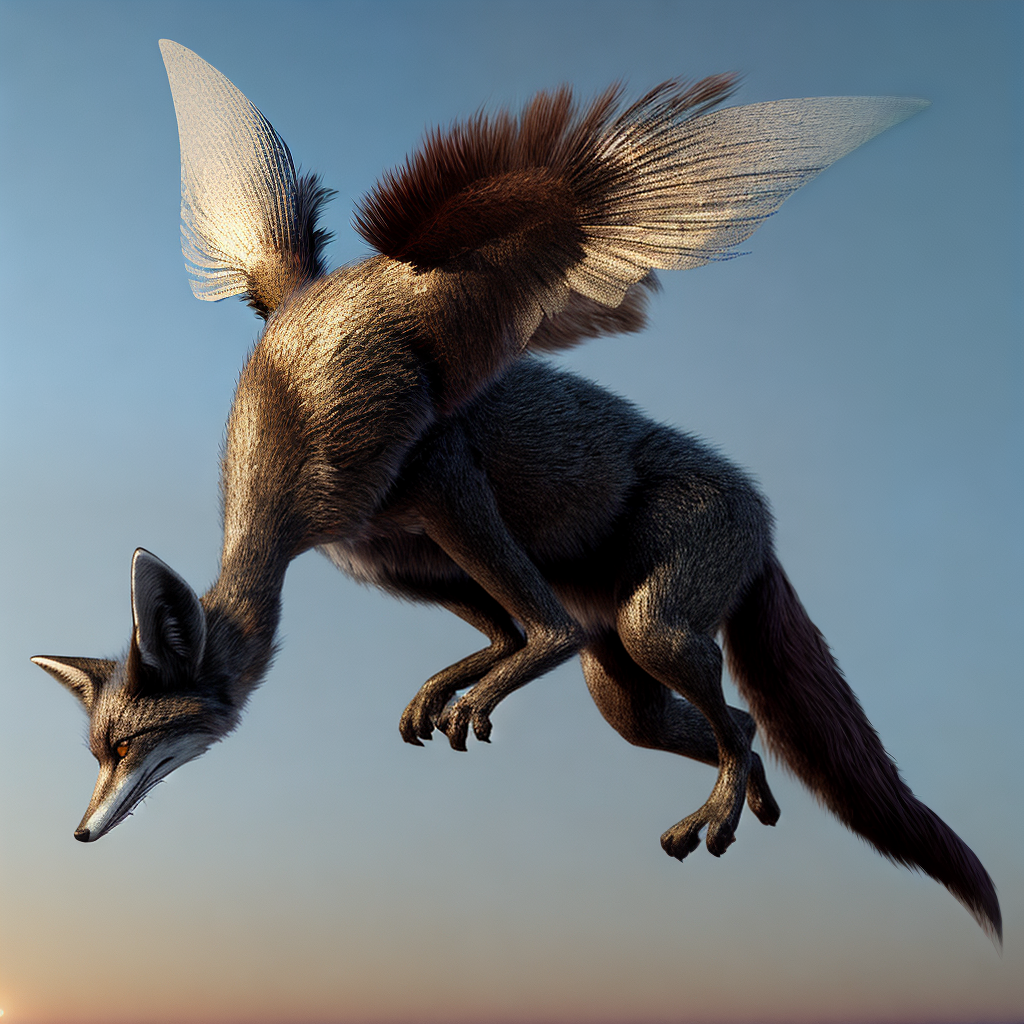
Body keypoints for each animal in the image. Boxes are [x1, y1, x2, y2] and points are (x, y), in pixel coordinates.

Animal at [32, 40, 1001, 943]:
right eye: (98, 750)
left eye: (131, 743)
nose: (78, 835)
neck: (287, 420)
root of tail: (759, 512)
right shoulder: (396, 552)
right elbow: (503, 628)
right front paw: (461, 680)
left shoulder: (440, 479)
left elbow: (543, 628)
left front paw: (491, 682)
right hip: (626, 691)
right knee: (741, 726)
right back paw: (745, 804)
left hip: (658, 618)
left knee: (712, 701)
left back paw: (720, 810)